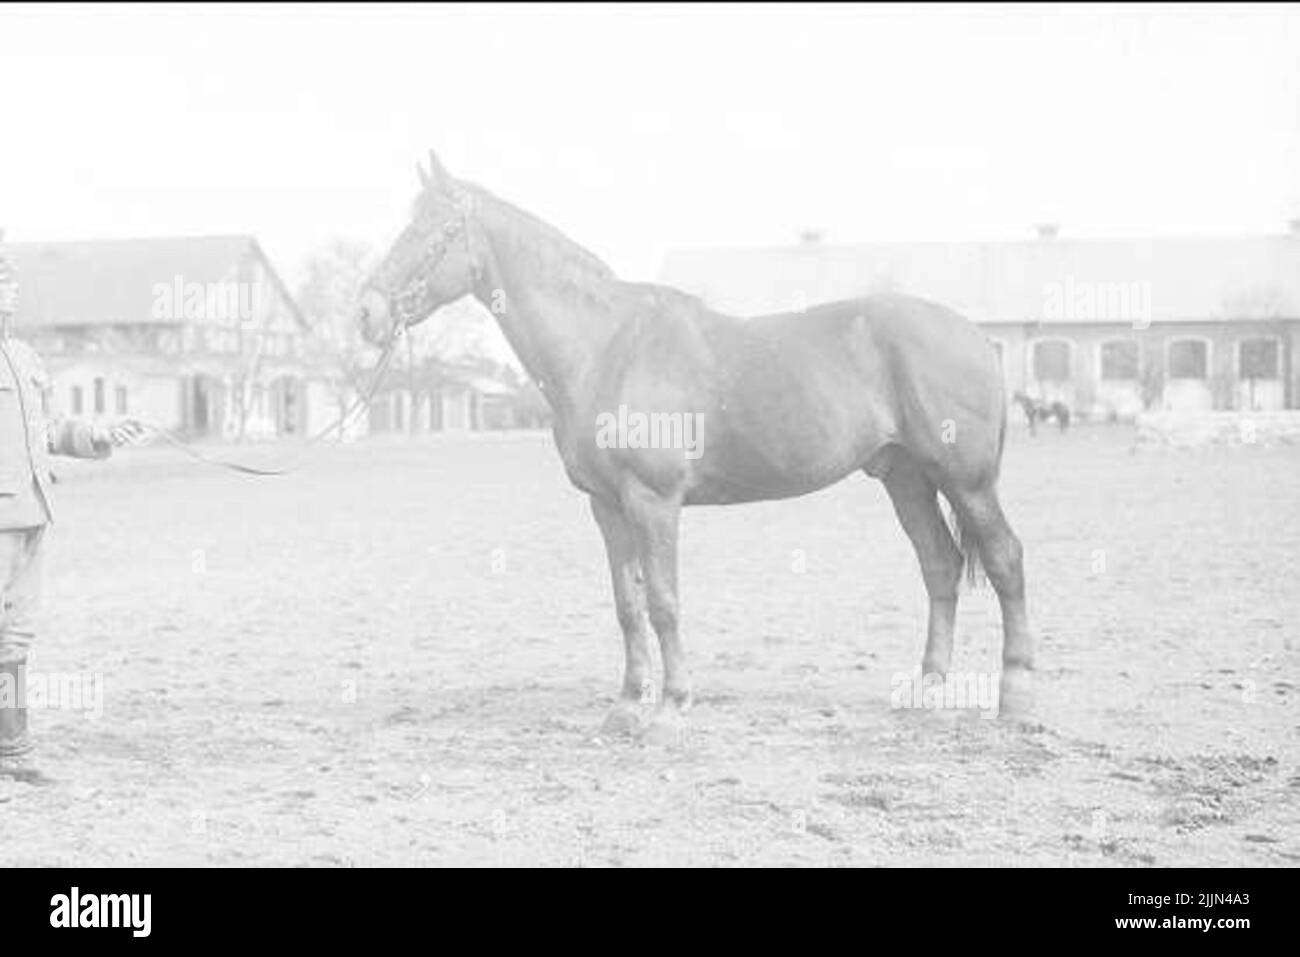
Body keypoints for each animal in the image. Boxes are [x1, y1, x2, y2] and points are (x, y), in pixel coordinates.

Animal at [356, 150, 1034, 743]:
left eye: (435, 229)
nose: (366, 312)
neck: (607, 346)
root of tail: (976, 337)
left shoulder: (653, 501)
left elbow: (662, 602)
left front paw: (670, 711)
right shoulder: (607, 506)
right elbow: (627, 604)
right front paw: (626, 708)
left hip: (966, 481)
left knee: (1004, 559)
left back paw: (1016, 697)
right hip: (906, 478)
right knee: (940, 566)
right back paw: (927, 689)